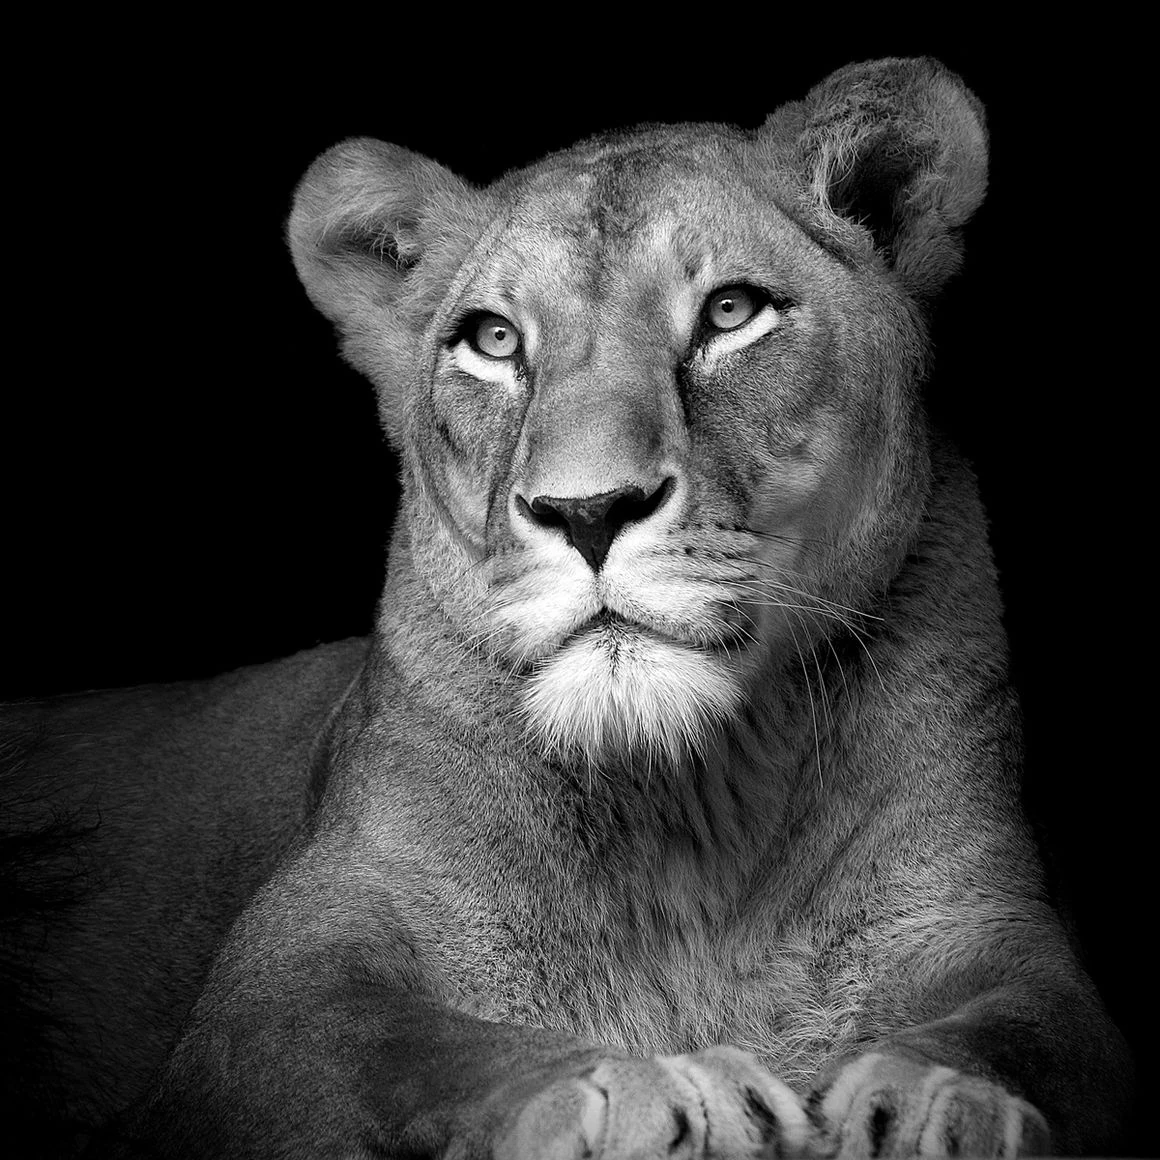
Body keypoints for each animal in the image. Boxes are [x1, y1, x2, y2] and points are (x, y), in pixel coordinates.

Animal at [0, 58, 1133, 1158]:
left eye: (731, 313)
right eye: (494, 340)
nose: (587, 511)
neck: (691, 808)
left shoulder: (993, 929)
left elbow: (1032, 1036)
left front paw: (934, 1100)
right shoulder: (276, 987)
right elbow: (420, 1046)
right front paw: (649, 1091)